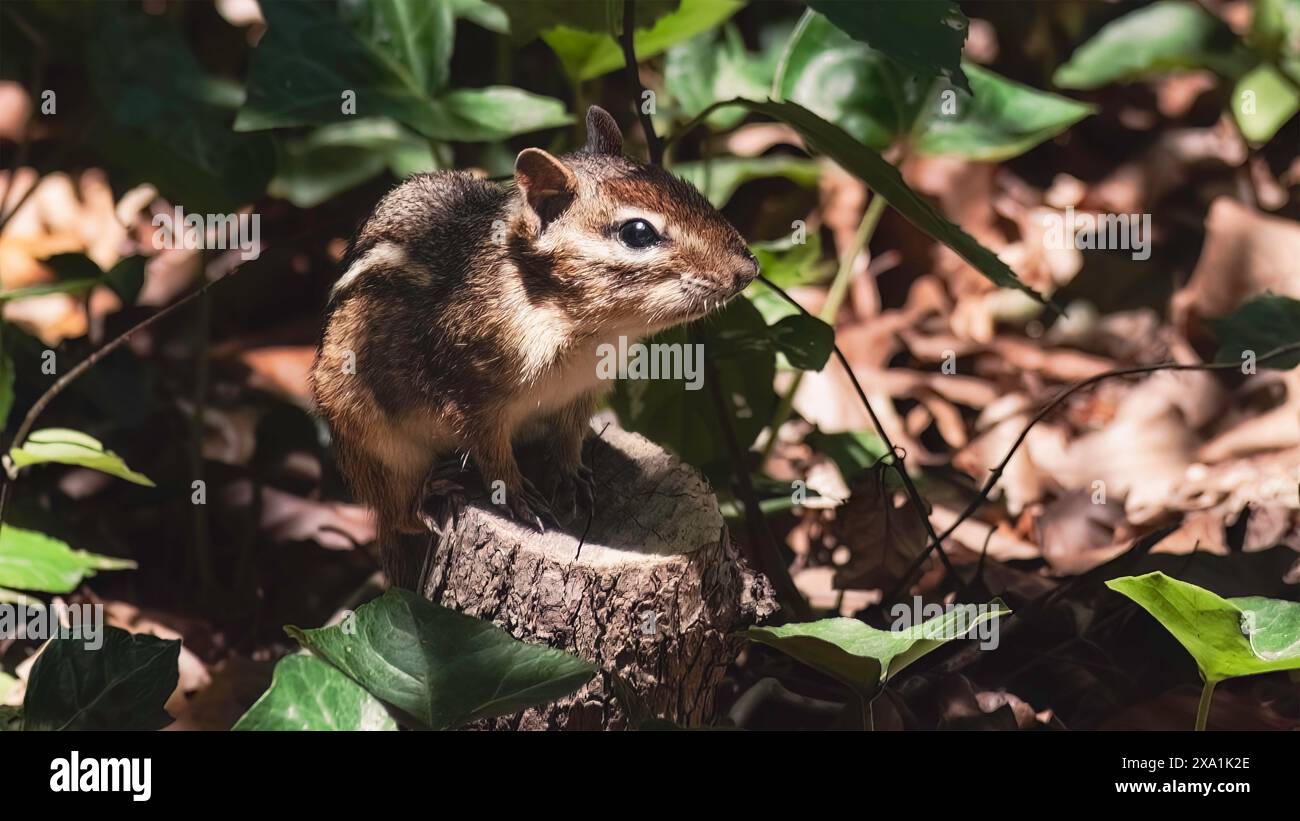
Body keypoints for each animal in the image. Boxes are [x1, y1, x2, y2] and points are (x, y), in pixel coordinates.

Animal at [311, 106, 759, 587]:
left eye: (688, 189)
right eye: (638, 233)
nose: (748, 269)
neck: (582, 329)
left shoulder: (582, 394)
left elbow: (569, 438)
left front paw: (572, 475)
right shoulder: (471, 397)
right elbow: (492, 456)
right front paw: (519, 497)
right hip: (378, 449)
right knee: (396, 513)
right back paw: (428, 494)